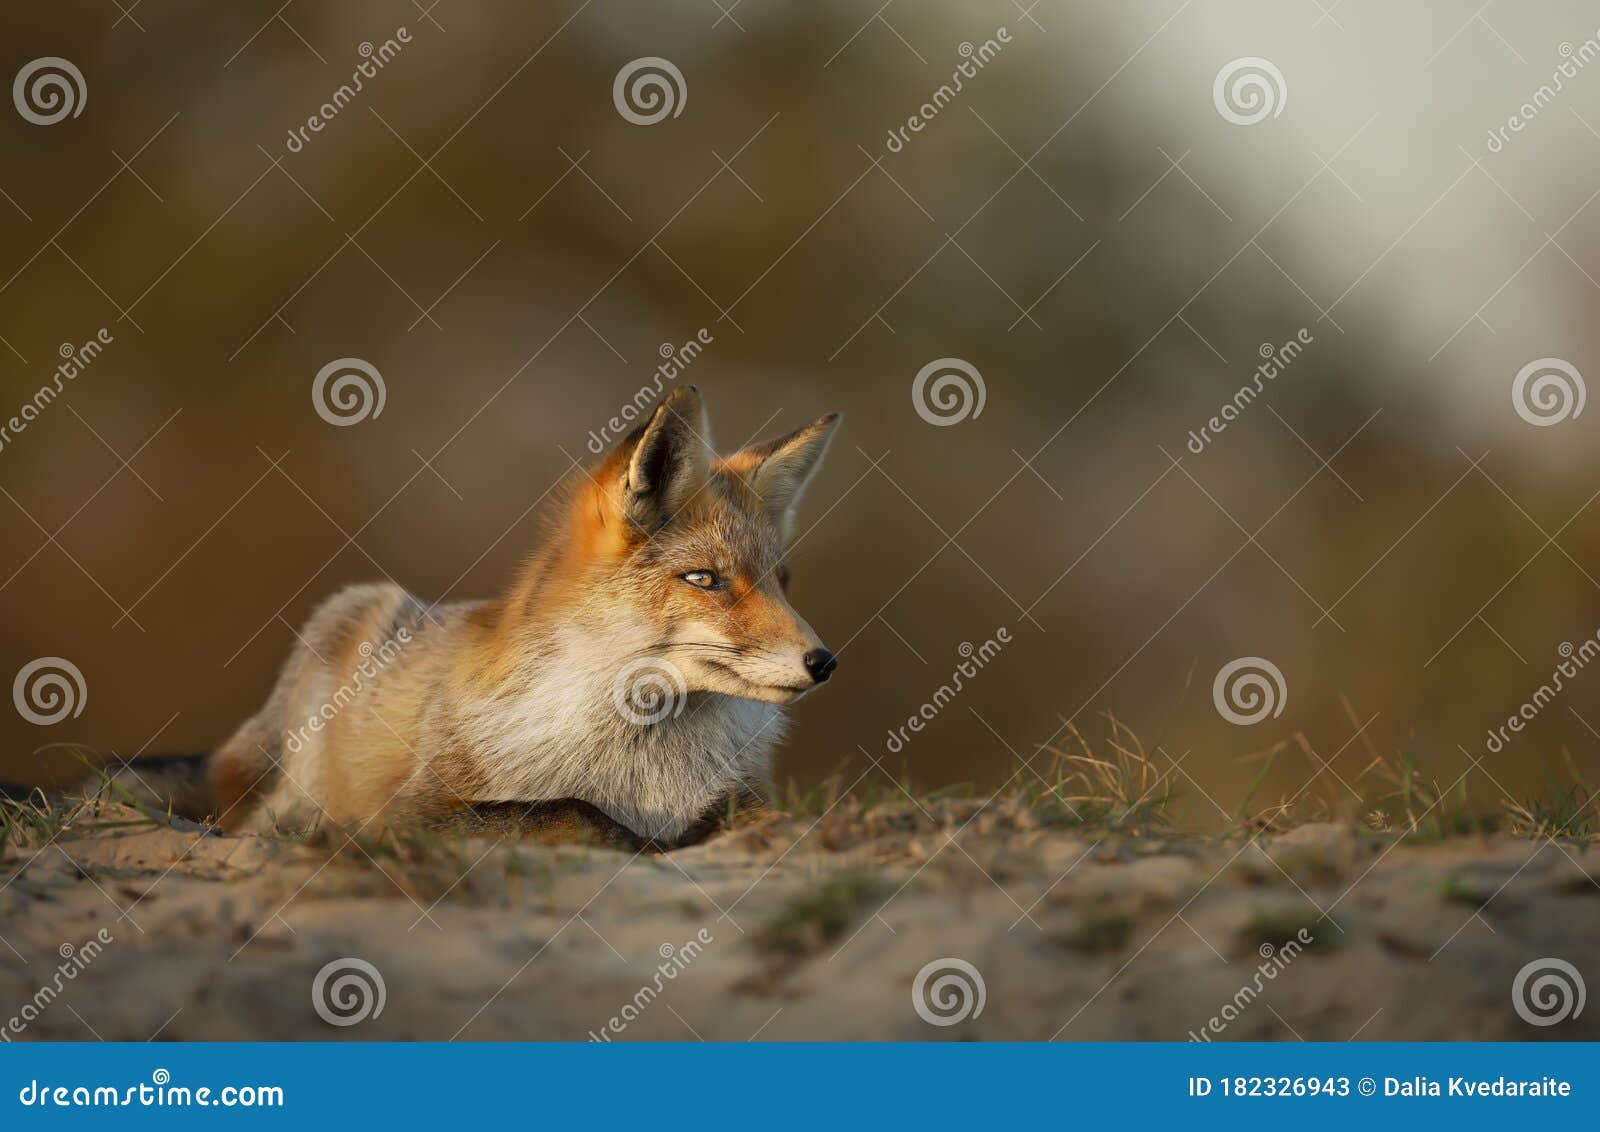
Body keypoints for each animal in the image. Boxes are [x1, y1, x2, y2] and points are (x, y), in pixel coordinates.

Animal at [118, 387, 840, 846]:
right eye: (705, 580)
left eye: (781, 583)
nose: (824, 662)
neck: (640, 763)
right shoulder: (417, 811)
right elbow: (576, 813)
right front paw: (646, 842)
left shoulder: (746, 791)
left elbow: (755, 816)